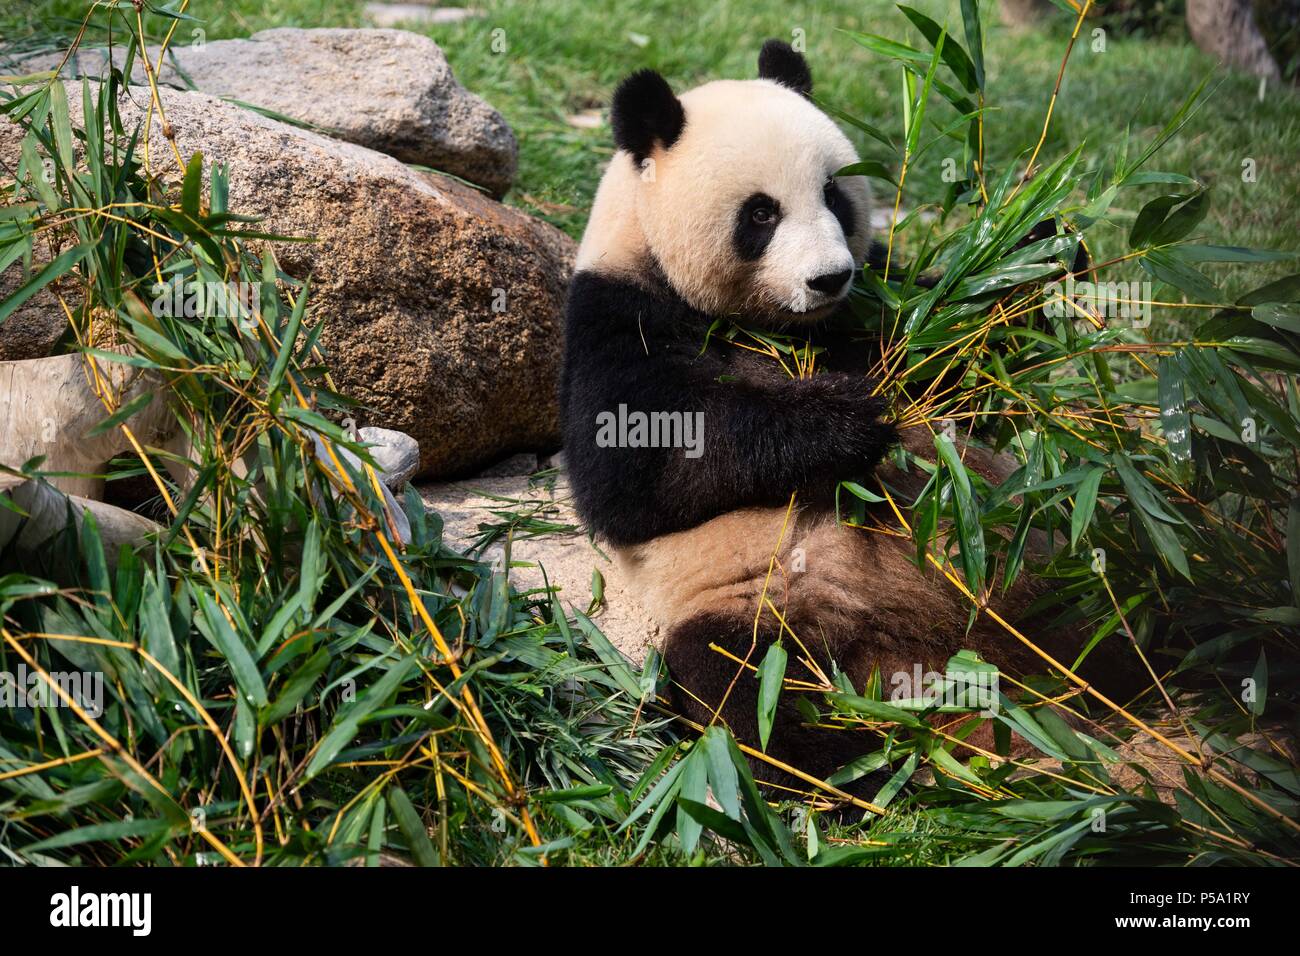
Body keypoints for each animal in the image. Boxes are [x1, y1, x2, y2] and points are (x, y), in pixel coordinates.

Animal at [561, 41, 1120, 792]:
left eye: (834, 193)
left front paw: (1040, 249)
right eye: (760, 215)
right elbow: (633, 468)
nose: (828, 278)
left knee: (1115, 590)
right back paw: (853, 771)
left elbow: (955, 344)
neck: (781, 328)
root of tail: (932, 659)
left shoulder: (877, 300)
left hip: (1034, 551)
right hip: (762, 608)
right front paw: (846, 419)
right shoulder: (616, 316)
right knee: (745, 690)